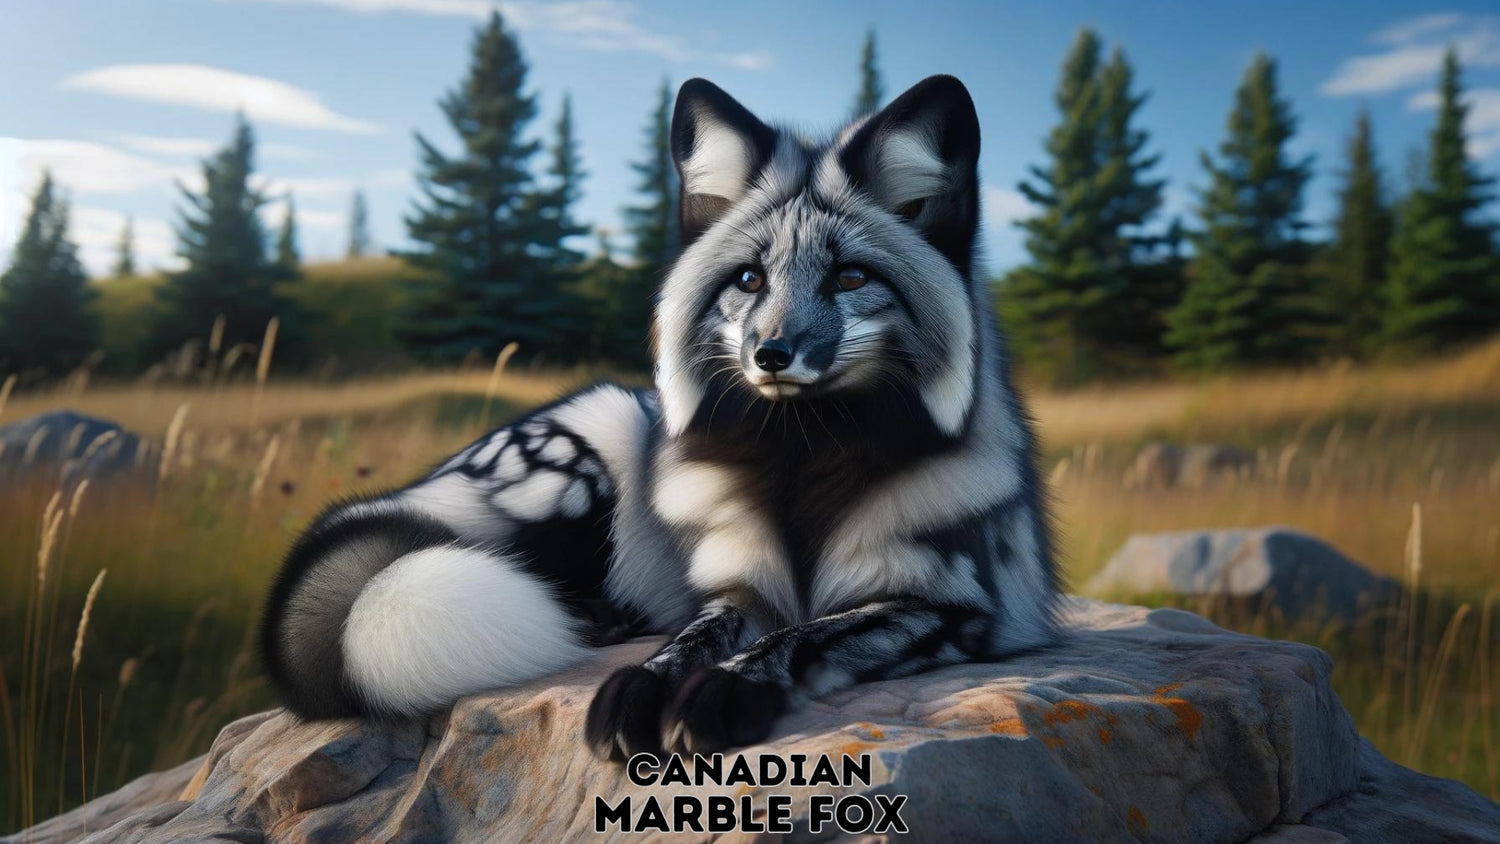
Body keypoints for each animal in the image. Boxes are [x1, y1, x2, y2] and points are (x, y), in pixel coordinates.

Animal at [260, 74, 1057, 760]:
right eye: (749, 279)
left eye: (851, 277)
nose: (772, 354)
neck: (799, 477)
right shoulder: (734, 583)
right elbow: (696, 635)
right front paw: (644, 685)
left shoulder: (964, 608)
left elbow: (805, 636)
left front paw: (727, 691)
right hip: (585, 456)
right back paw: (593, 619)